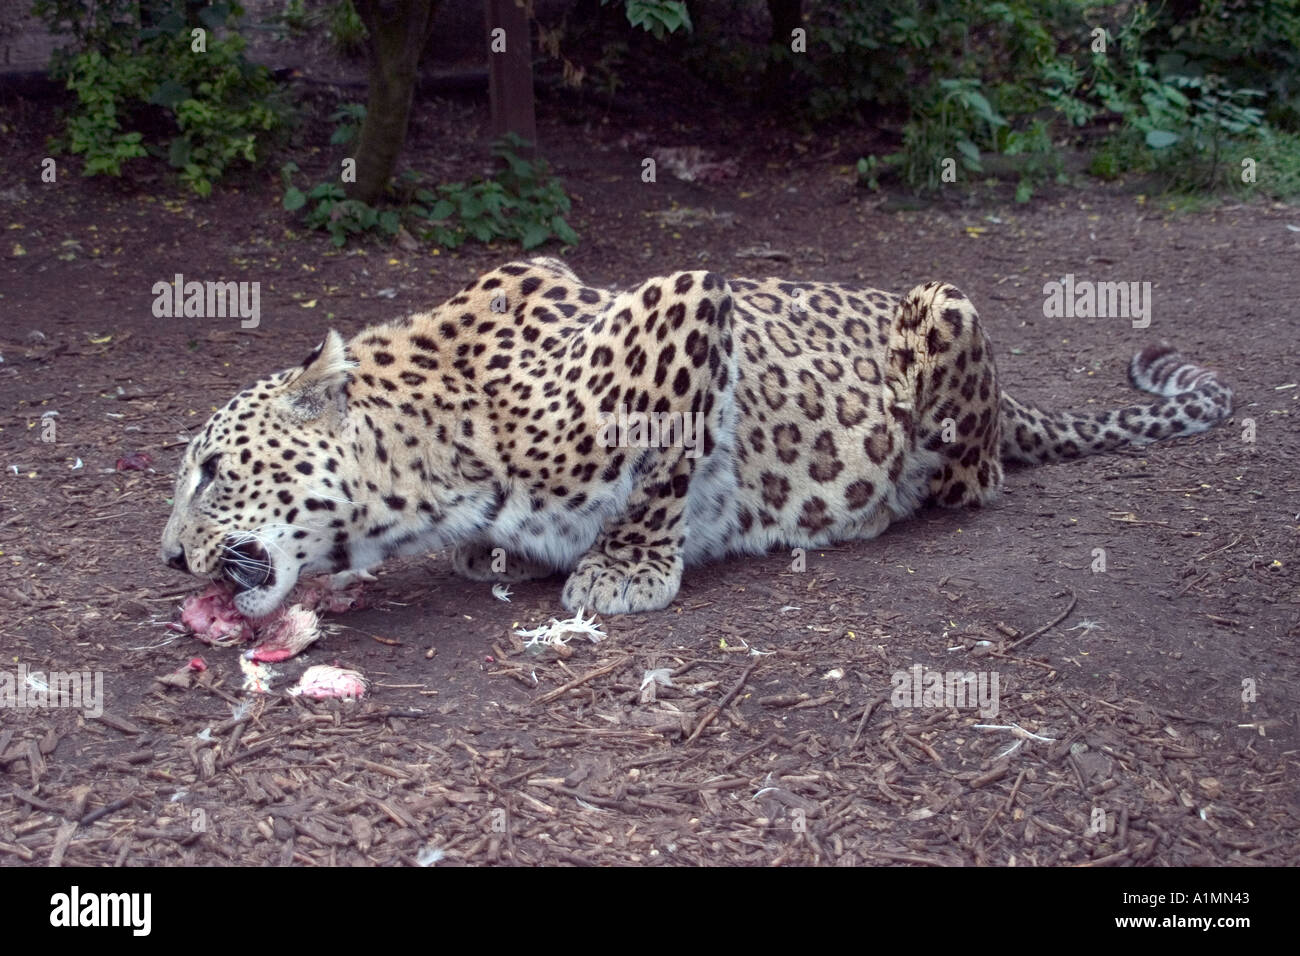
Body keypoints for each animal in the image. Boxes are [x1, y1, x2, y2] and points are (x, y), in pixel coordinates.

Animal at [161, 257, 1232, 618]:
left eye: (210, 471)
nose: (169, 559)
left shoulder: (687, 305)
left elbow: (666, 470)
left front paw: (624, 570)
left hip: (945, 307)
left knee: (980, 475)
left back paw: (896, 497)